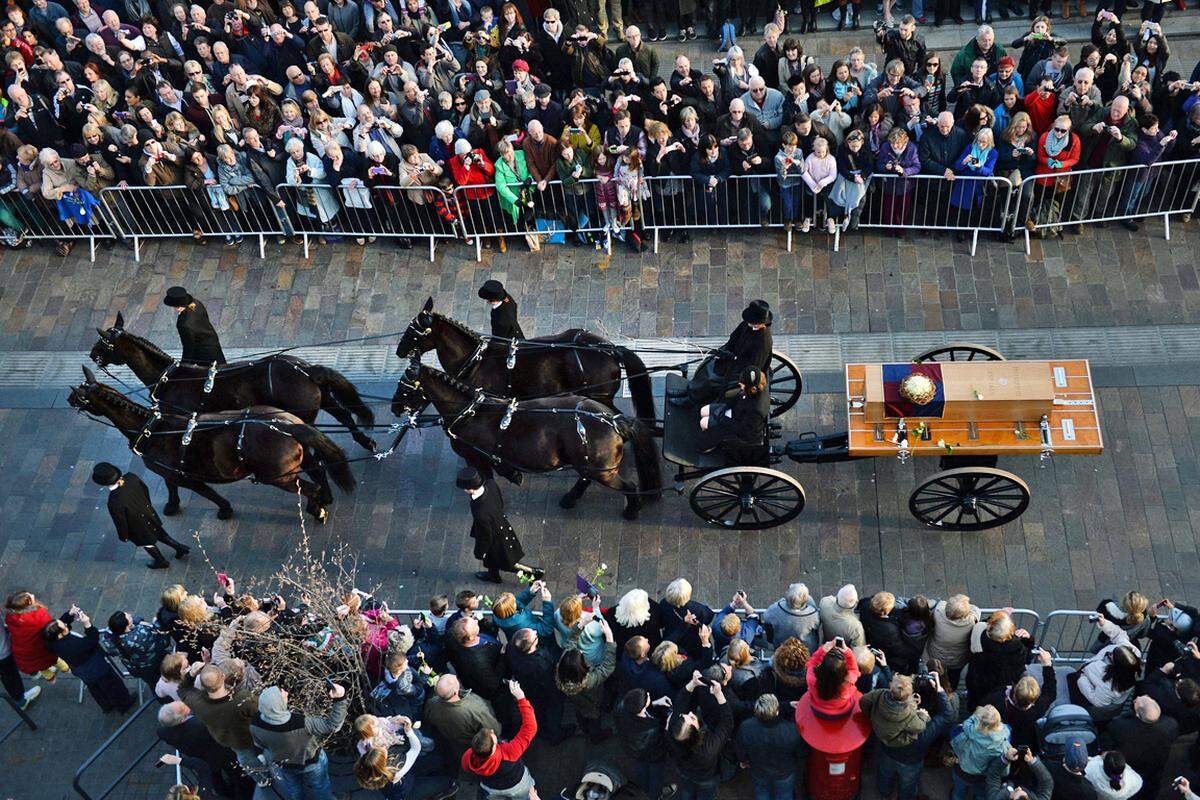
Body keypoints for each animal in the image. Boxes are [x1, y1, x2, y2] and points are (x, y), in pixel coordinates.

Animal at [68, 369, 355, 525]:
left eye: (81, 394)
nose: (69, 398)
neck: (154, 428)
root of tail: (285, 425)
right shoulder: (174, 472)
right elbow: (177, 486)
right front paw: (173, 504)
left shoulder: (181, 474)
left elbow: (204, 491)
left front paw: (223, 508)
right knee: (317, 470)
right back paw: (323, 499)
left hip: (278, 477)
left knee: (309, 486)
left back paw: (317, 509)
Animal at [89, 311, 376, 450]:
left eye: (104, 342)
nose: (92, 355)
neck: (170, 378)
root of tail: (303, 369)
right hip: (322, 400)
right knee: (346, 416)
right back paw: (366, 443)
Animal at [391, 362, 662, 520]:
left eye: (405, 386)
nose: (394, 407)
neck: (470, 412)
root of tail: (614, 420)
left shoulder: (476, 458)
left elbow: (487, 481)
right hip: (588, 464)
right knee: (585, 479)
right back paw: (570, 499)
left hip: (602, 470)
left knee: (629, 486)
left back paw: (631, 511)